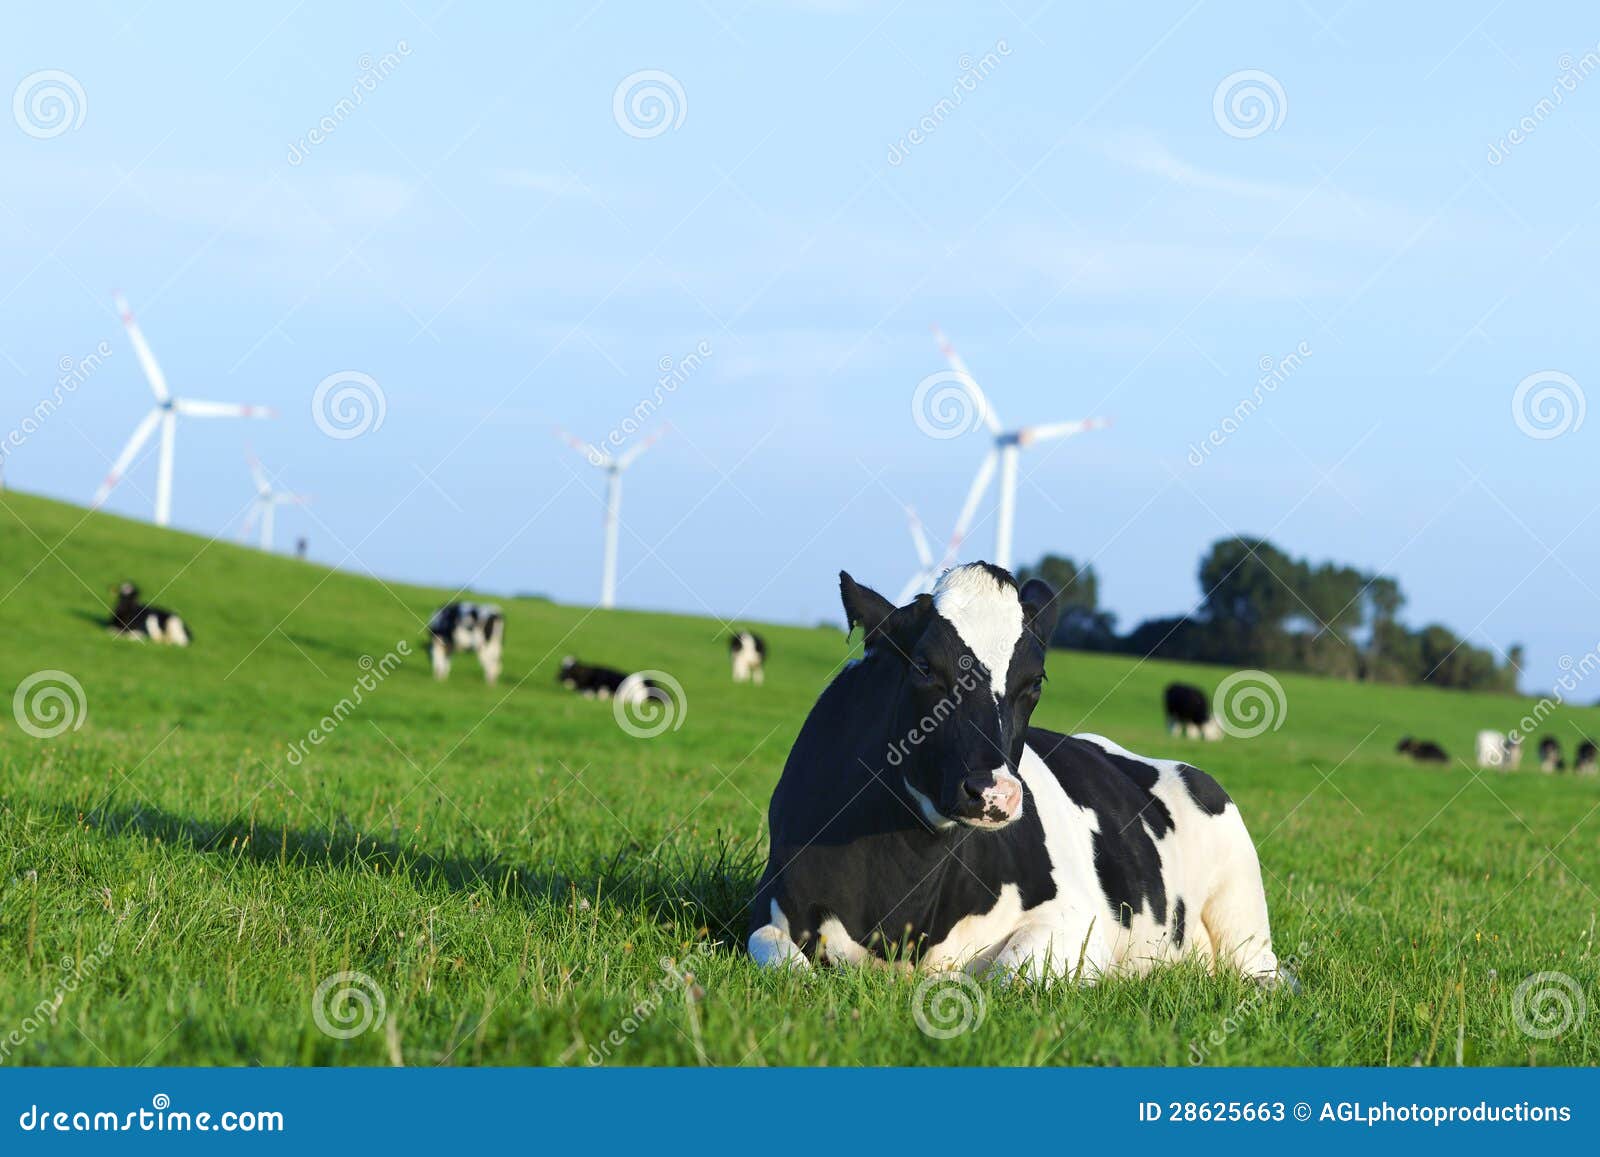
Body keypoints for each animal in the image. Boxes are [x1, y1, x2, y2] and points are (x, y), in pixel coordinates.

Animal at [746, 563, 1288, 988]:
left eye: (1035, 681)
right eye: (924, 666)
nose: (994, 793)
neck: (897, 896)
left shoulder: (1078, 918)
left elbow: (1007, 975)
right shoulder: (770, 909)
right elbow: (783, 964)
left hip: (1244, 920)